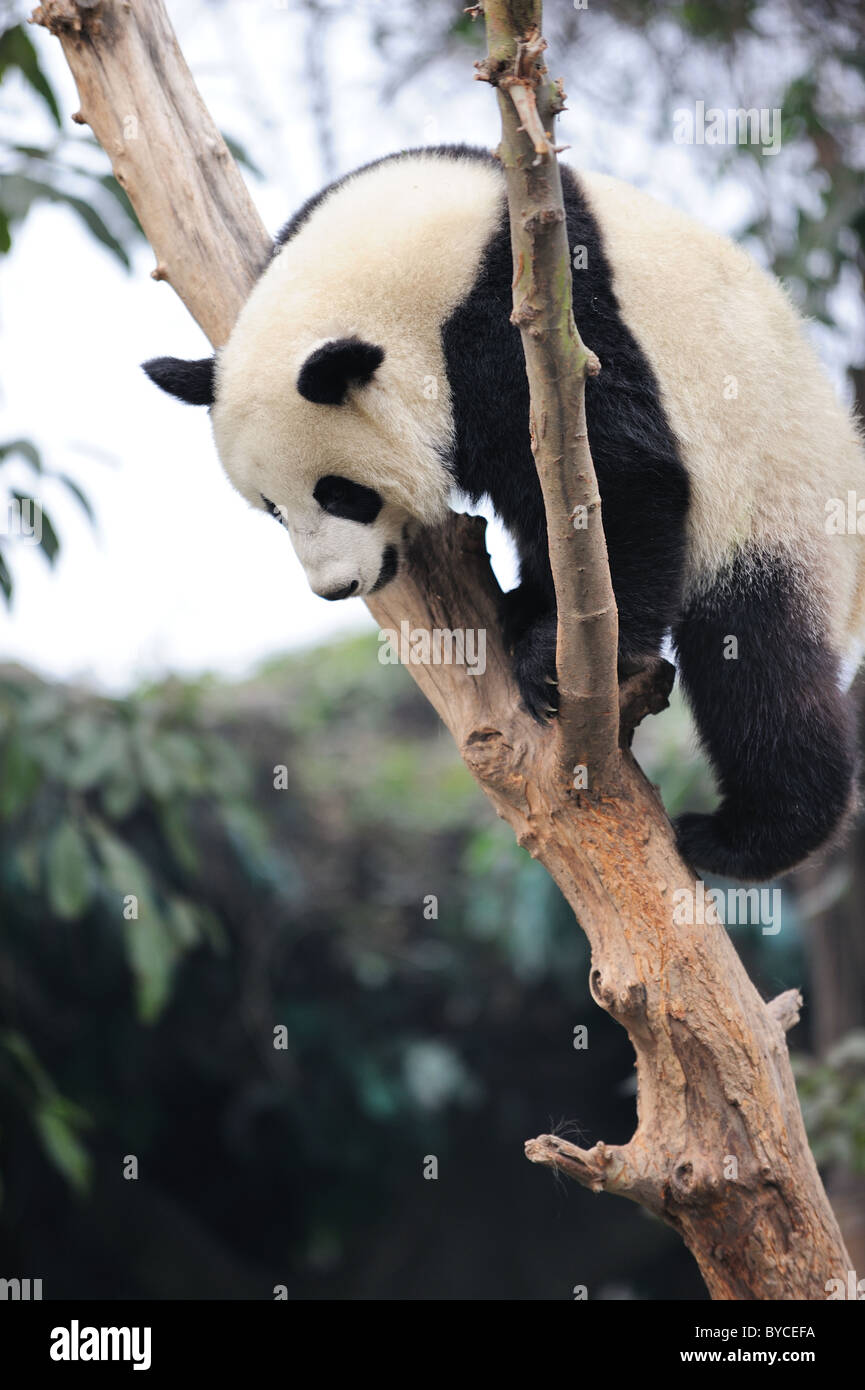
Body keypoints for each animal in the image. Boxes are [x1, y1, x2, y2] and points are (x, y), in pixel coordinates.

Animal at [143, 144, 865, 883]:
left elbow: (625, 475)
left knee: (757, 663)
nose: (337, 587)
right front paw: (535, 625)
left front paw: (553, 661)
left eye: (340, 492)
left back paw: (749, 835)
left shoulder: (537, 324)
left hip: (776, 500)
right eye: (274, 511)